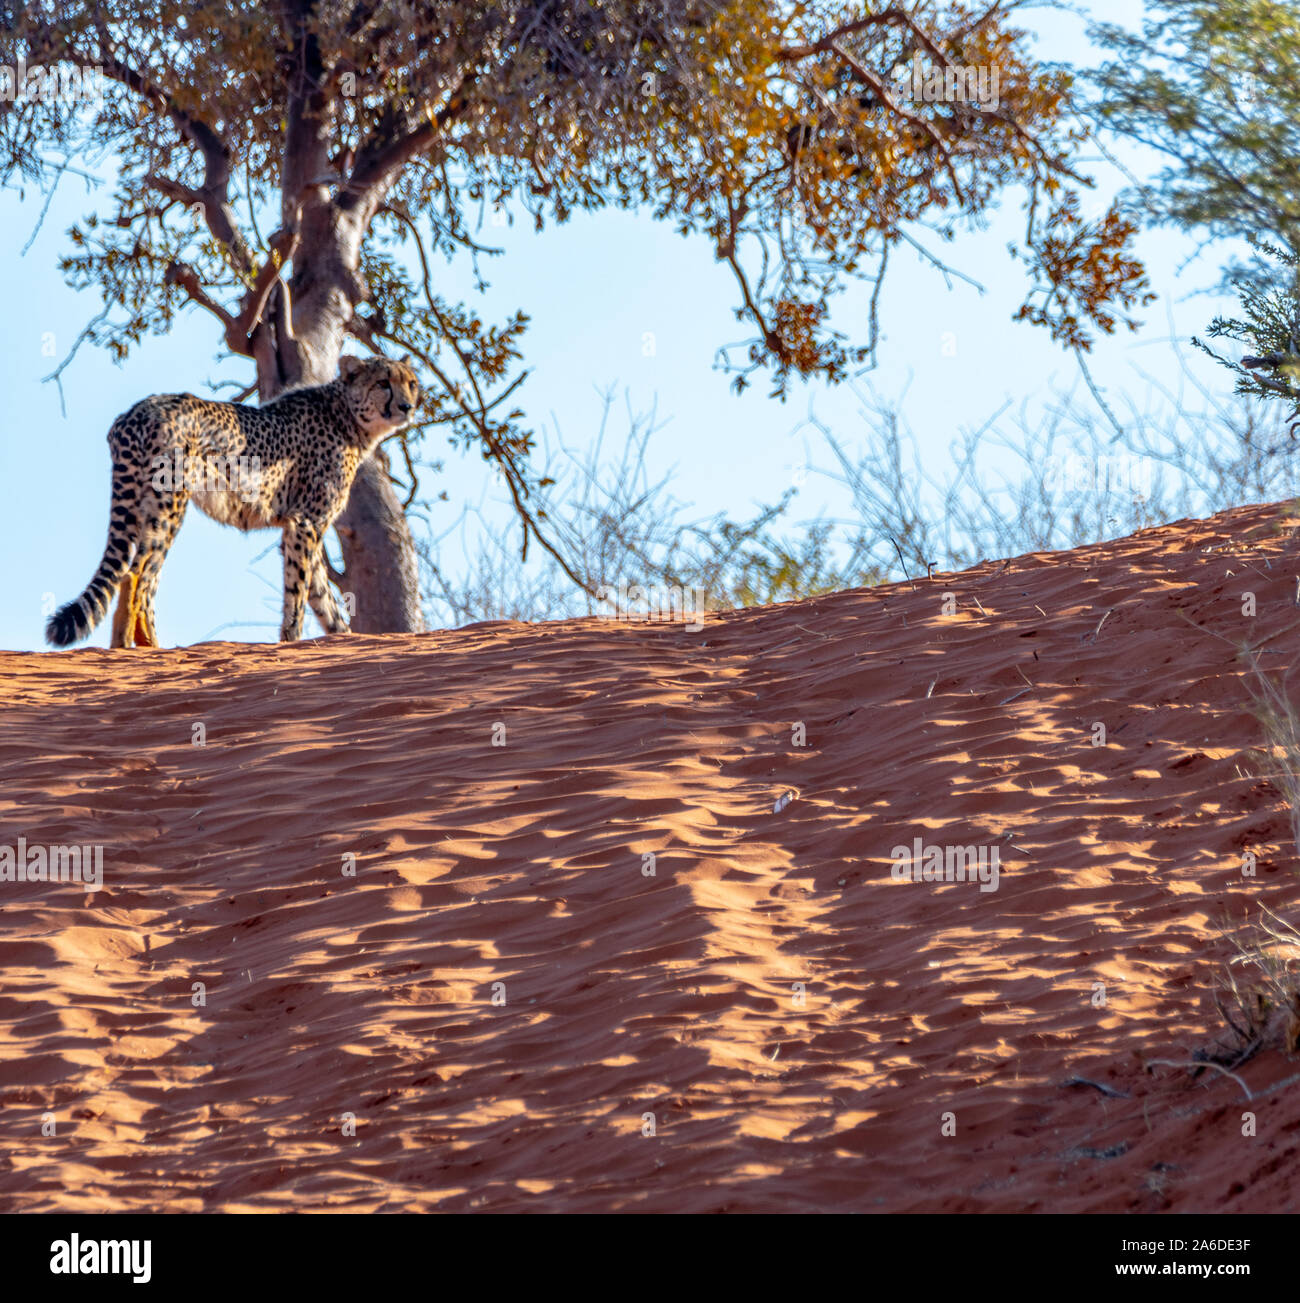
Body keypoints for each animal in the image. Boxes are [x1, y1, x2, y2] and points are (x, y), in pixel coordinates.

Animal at [45, 354, 420, 649]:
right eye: (383, 383)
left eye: (411, 383)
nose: (407, 406)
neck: (347, 416)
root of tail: (138, 410)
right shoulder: (305, 523)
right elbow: (297, 594)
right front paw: (290, 642)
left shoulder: (300, 528)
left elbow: (321, 596)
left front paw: (341, 638)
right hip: (170, 505)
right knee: (137, 576)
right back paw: (129, 649)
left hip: (143, 504)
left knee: (139, 576)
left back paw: (147, 647)